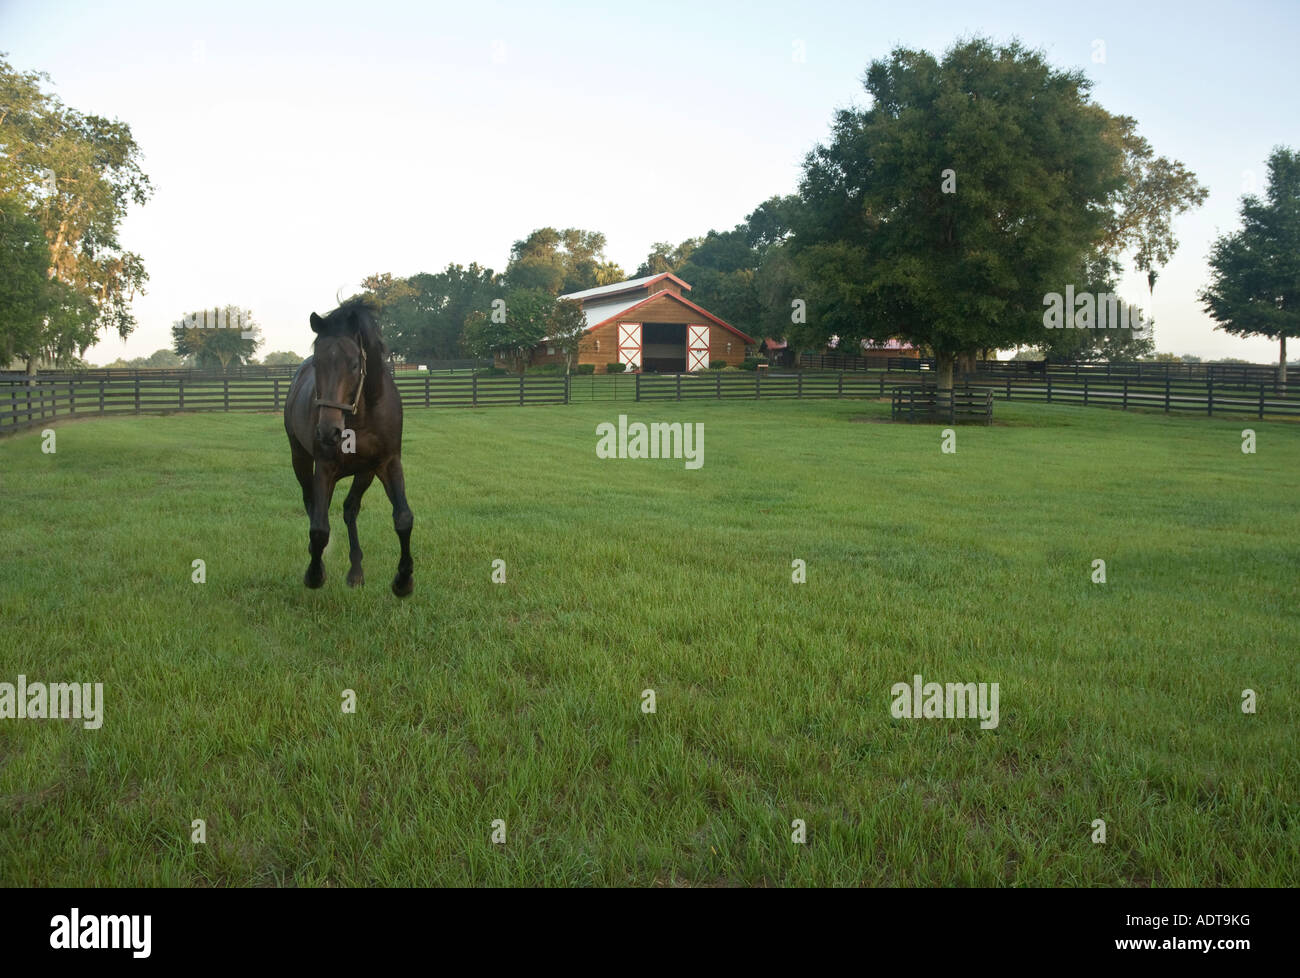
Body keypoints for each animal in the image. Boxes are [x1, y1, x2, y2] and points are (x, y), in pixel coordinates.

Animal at [283, 299, 413, 596]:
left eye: (354, 365)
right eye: (318, 363)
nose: (328, 431)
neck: (362, 413)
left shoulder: (388, 463)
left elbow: (403, 518)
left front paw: (403, 581)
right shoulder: (325, 467)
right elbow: (319, 529)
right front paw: (314, 575)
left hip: (364, 473)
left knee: (349, 508)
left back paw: (355, 572)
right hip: (300, 459)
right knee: (312, 504)